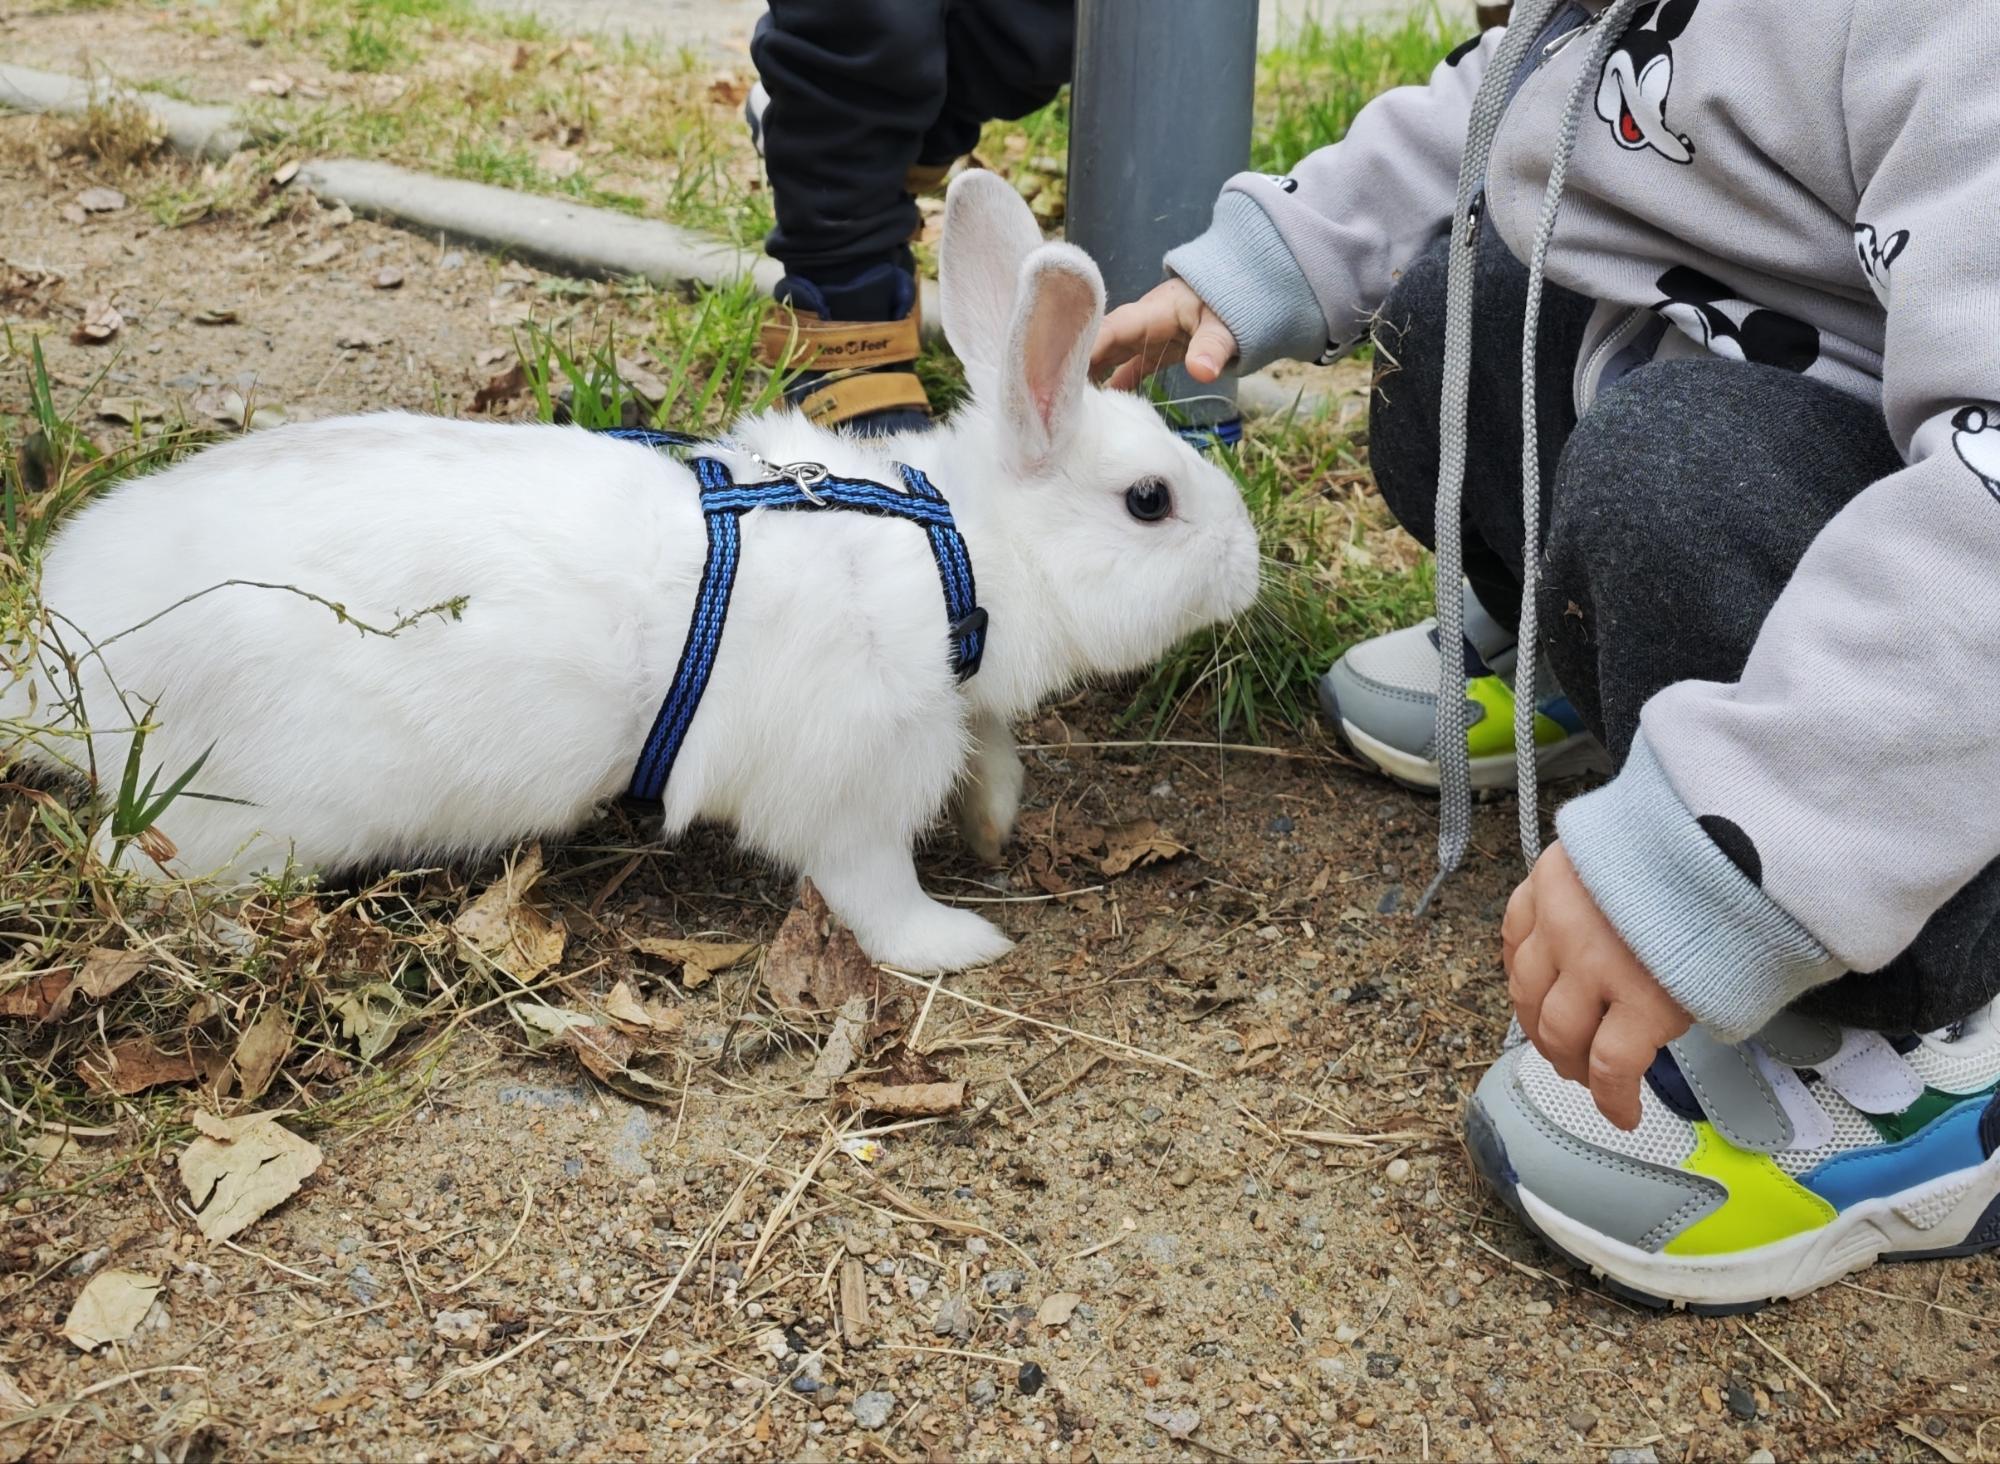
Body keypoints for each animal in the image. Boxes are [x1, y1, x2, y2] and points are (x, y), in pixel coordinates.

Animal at [7, 172, 1256, 972]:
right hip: (244, 812)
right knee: (128, 859)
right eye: (1150, 501)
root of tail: (68, 658)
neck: (950, 546)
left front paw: (993, 830)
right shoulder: (849, 790)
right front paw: (959, 945)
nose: (1246, 567)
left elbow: (989, 759)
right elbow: (873, 891)